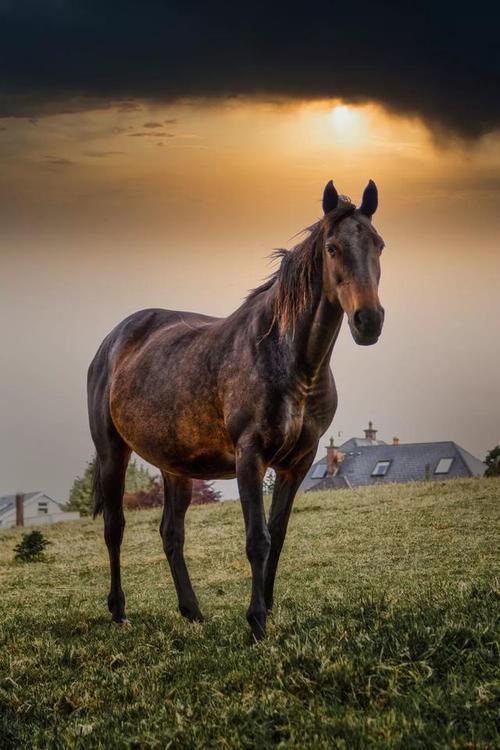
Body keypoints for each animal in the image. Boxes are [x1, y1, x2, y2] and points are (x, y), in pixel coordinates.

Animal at [87, 179, 385, 640]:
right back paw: (119, 611)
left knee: (171, 534)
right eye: (333, 247)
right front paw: (256, 621)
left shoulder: (298, 463)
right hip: (111, 452)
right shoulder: (250, 456)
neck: (290, 358)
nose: (368, 321)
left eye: (379, 245)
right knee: (114, 528)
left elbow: (277, 535)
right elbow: (257, 538)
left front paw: (269, 608)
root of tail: (113, 341)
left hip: (176, 467)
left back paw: (192, 611)